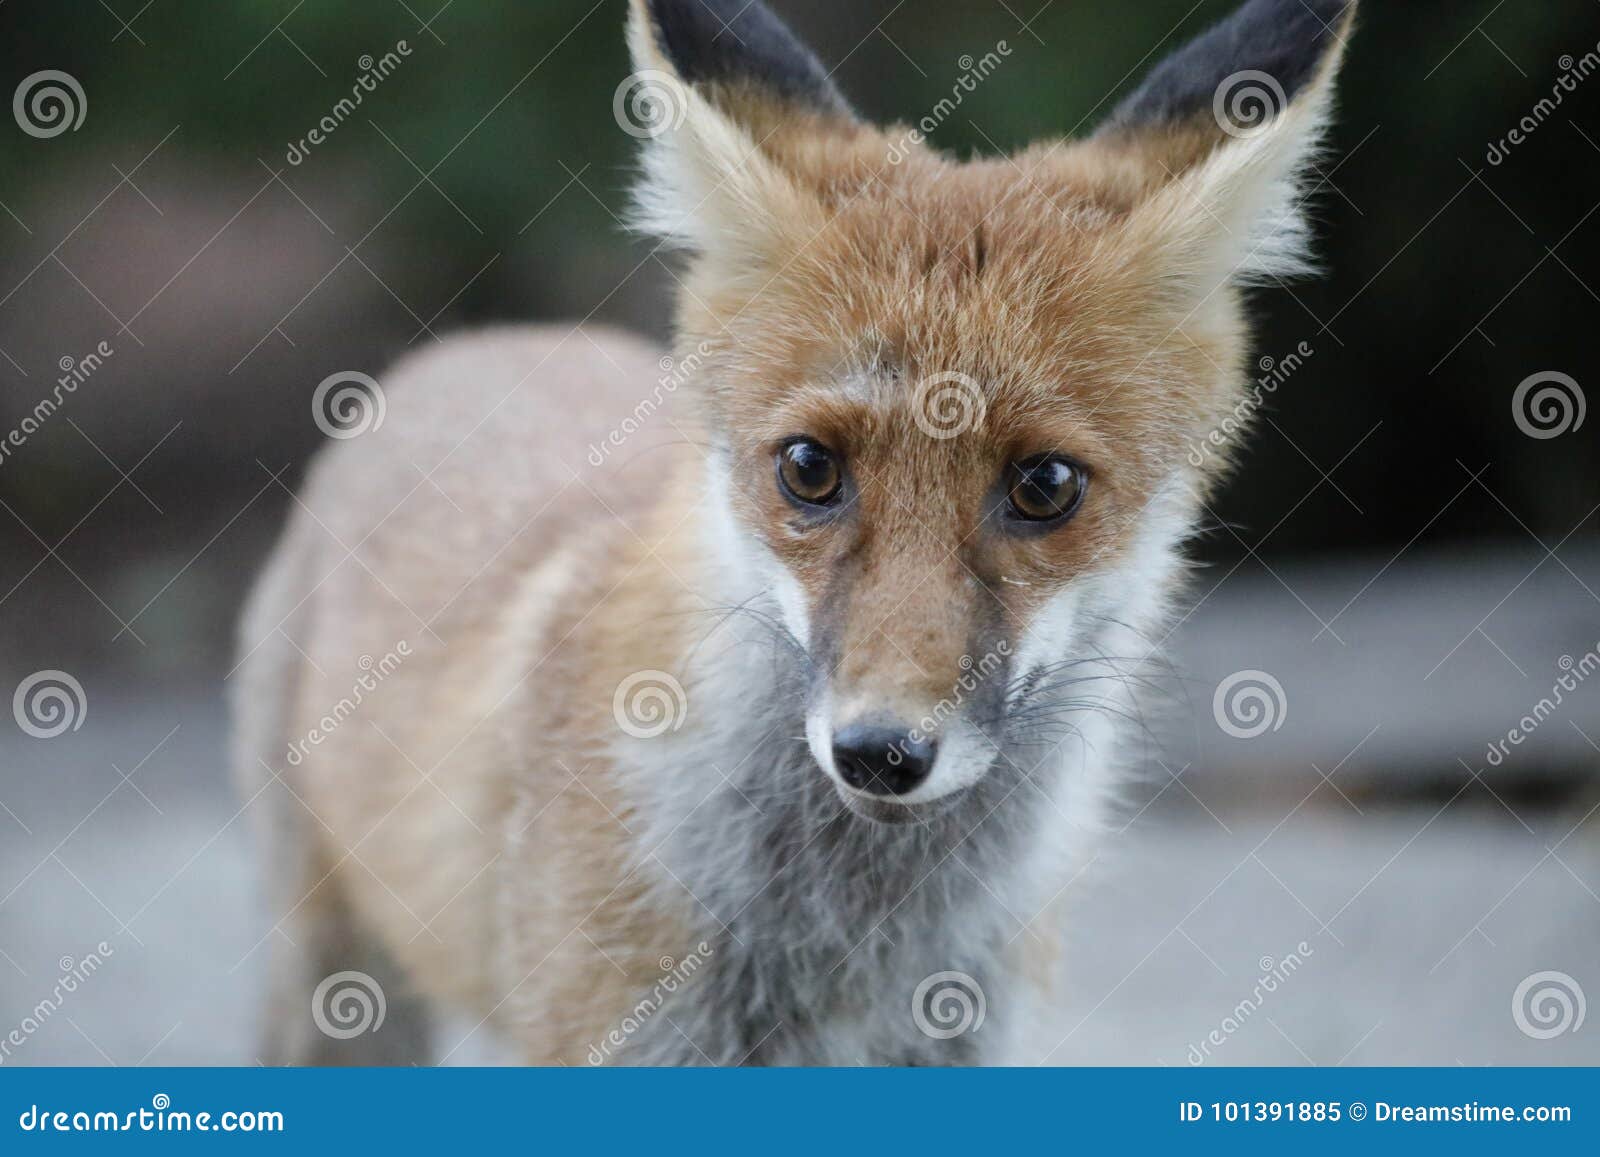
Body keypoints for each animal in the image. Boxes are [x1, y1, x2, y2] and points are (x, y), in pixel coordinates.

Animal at [234, 0, 1358, 1066]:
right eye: (810, 469)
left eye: (1045, 484)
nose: (880, 753)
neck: (850, 943)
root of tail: (474, 344)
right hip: (334, 991)